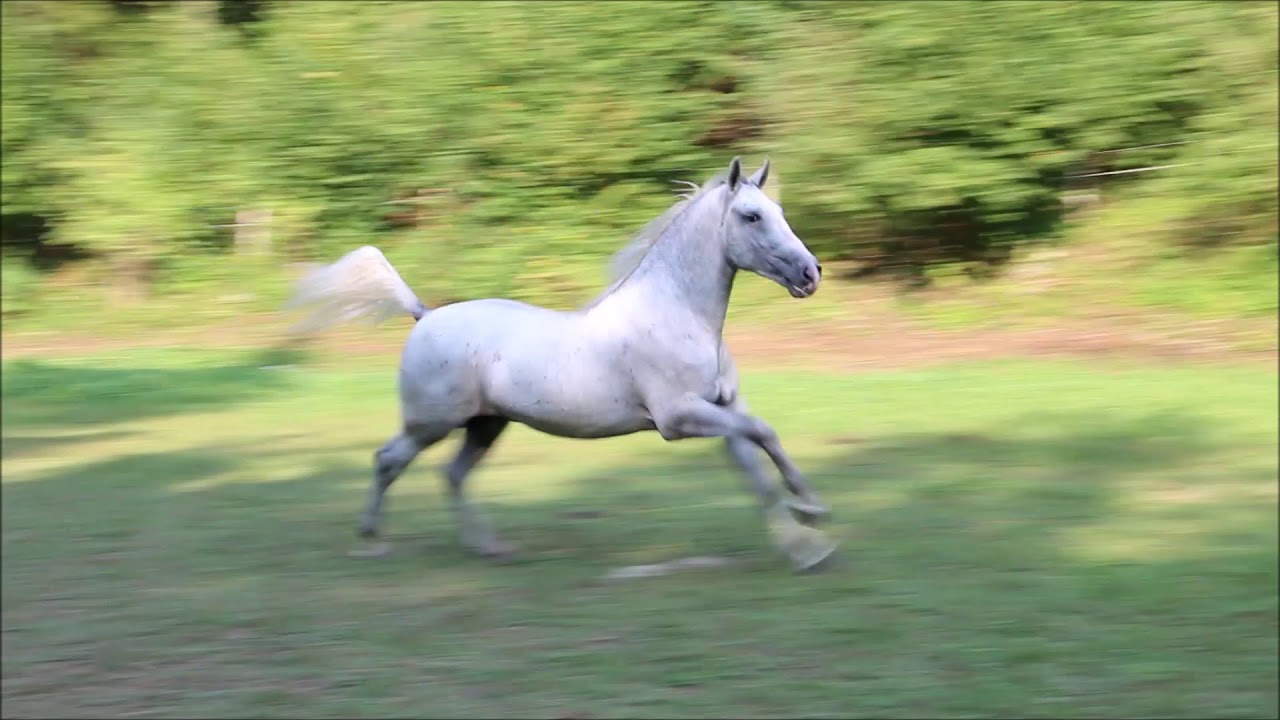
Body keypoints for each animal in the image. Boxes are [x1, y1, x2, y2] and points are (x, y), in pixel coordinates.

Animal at [287, 157, 837, 571]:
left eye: (778, 209)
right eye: (751, 216)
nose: (811, 273)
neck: (677, 315)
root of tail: (424, 314)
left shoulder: (722, 411)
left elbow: (757, 467)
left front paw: (806, 541)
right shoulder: (680, 417)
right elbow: (764, 434)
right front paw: (811, 511)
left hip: (486, 425)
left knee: (453, 474)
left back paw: (489, 547)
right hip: (432, 422)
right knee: (388, 460)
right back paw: (372, 540)